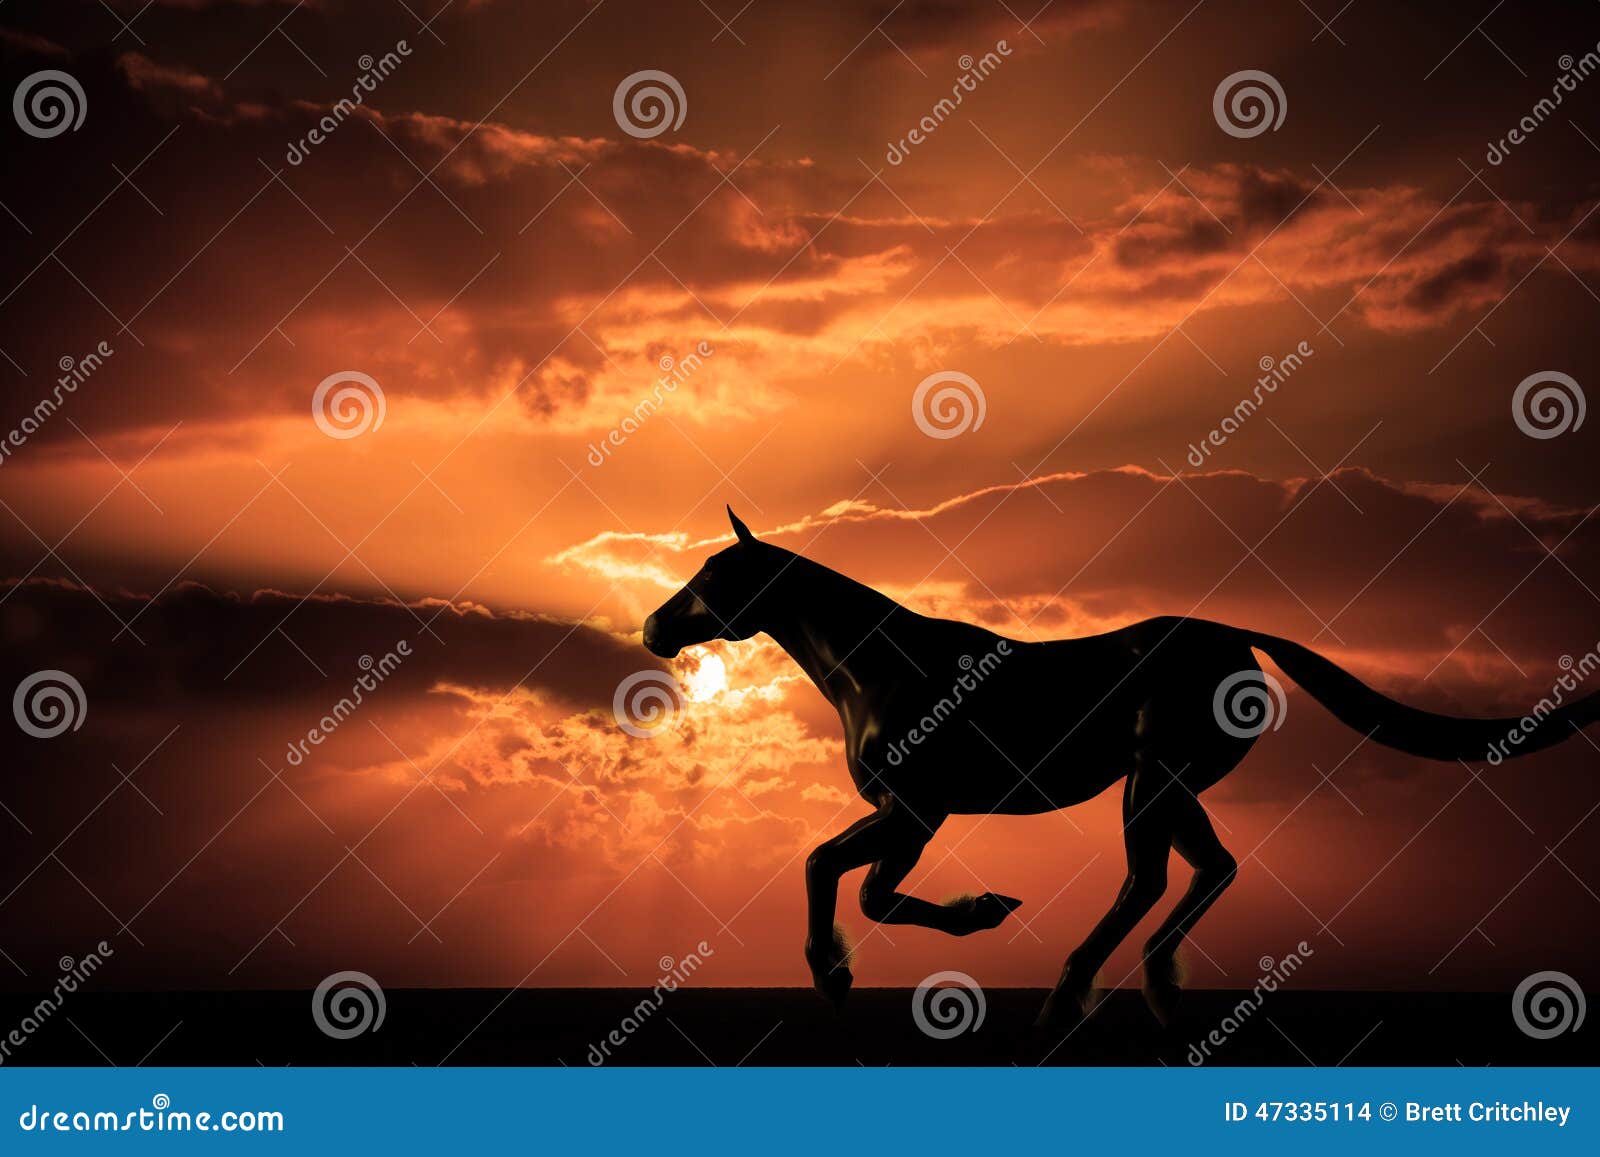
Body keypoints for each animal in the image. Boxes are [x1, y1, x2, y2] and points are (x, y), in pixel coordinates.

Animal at [642, 507, 1600, 1028]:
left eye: (711, 575)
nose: (653, 628)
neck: (874, 669)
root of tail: (1238, 638)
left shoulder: (918, 809)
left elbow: (853, 881)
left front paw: (889, 949)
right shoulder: (908, 813)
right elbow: (836, 870)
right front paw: (843, 967)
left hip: (1154, 778)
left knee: (1150, 879)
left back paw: (1071, 995)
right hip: (1174, 784)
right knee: (1210, 867)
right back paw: (1158, 988)